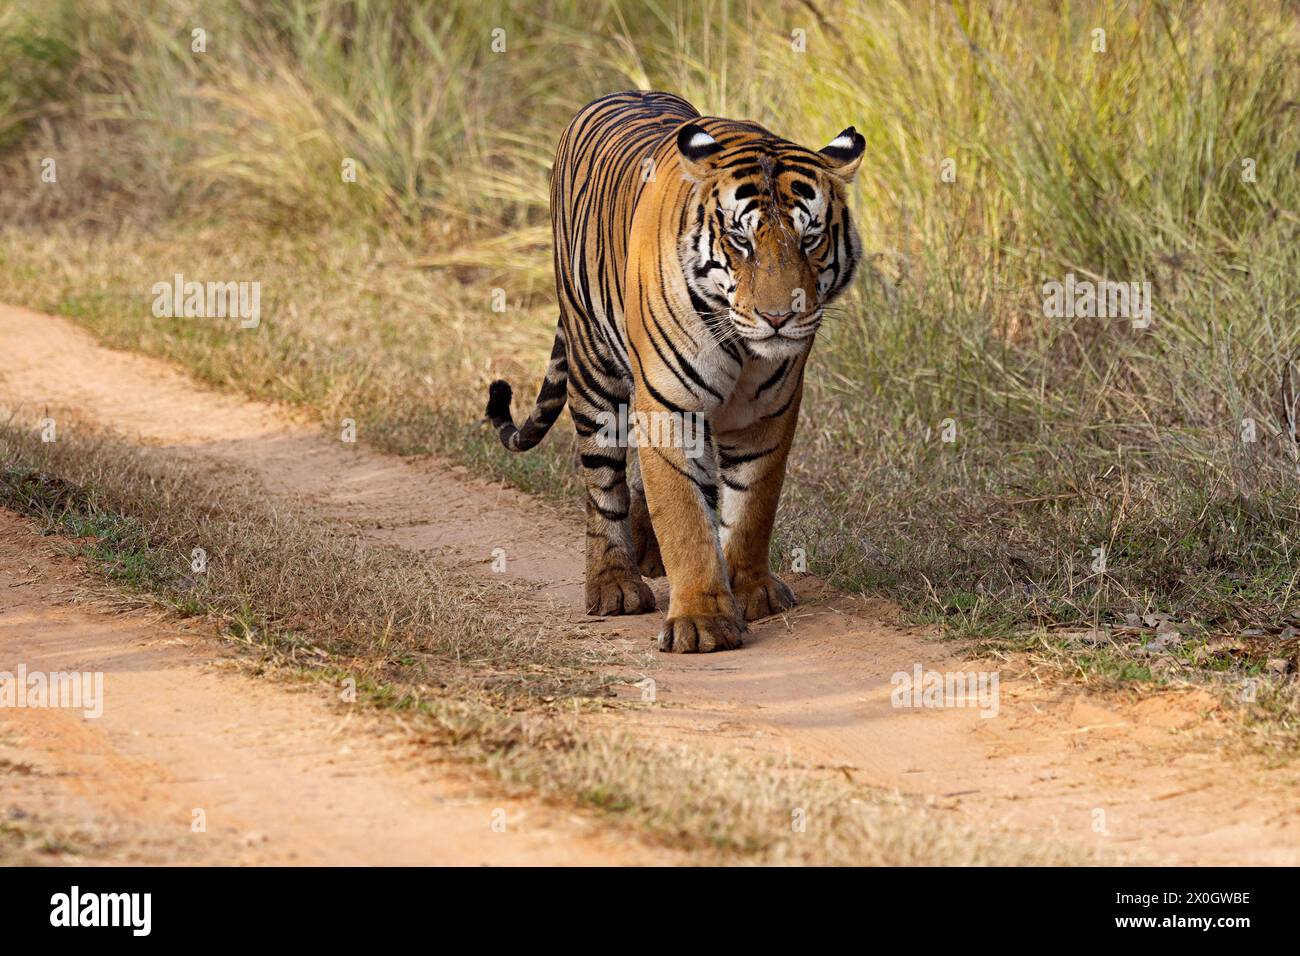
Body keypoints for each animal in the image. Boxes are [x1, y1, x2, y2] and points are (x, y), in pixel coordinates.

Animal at [486, 90, 864, 653]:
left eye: (810, 240)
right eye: (741, 241)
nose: (779, 317)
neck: (744, 349)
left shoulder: (768, 413)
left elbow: (752, 506)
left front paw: (750, 590)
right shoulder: (669, 405)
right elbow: (685, 517)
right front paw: (703, 622)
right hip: (593, 370)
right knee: (604, 488)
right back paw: (614, 584)